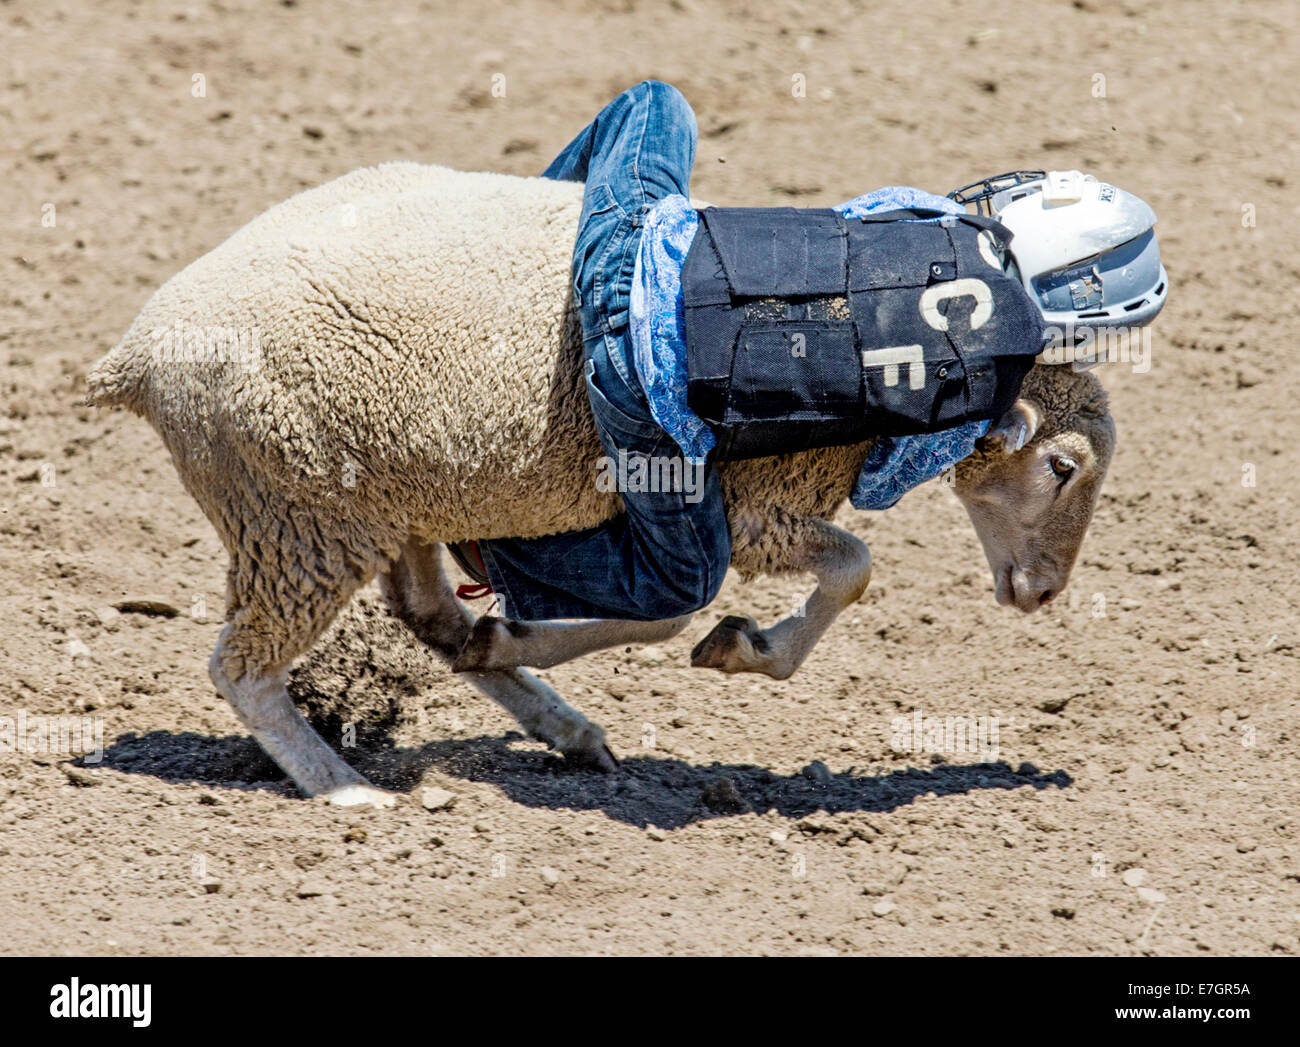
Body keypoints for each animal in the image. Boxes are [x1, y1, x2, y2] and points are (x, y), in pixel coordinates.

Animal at [86, 162, 1116, 808]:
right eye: (1063, 468)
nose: (1044, 593)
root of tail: (138, 353)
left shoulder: (694, 510)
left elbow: (666, 612)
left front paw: (522, 642)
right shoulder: (746, 503)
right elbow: (841, 571)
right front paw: (746, 648)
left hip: (383, 498)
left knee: (426, 614)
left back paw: (541, 707)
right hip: (296, 513)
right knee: (242, 667)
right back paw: (344, 787)